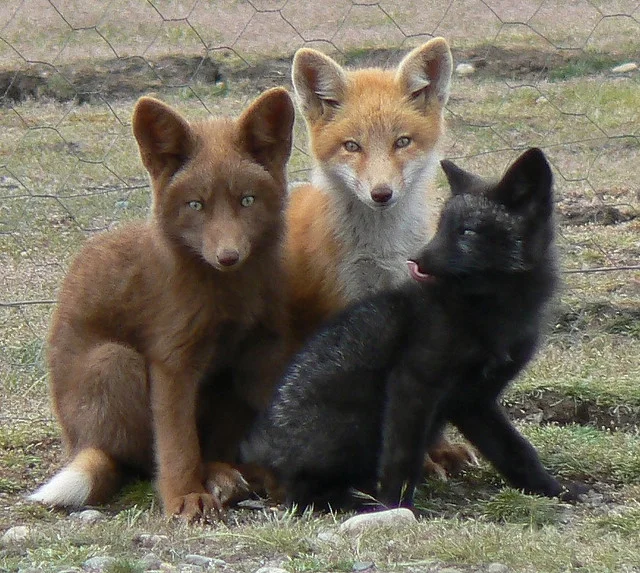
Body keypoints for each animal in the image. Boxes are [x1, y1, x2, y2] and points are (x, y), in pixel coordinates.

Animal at [29, 88, 295, 521]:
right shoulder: (172, 360)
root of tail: (79, 445)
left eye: (247, 201)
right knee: (138, 462)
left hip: (223, 386)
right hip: (115, 362)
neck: (227, 295)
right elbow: (176, 445)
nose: (228, 256)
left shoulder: (262, 350)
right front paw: (185, 498)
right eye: (195, 205)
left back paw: (231, 476)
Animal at [242, 148, 588, 510]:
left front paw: (554, 489)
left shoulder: (474, 401)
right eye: (441, 228)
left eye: (467, 232)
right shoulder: (414, 382)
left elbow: (517, 452)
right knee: (299, 495)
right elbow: (401, 456)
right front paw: (396, 506)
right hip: (357, 425)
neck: (494, 314)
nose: (416, 260)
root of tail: (262, 447)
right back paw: (355, 502)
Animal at [285, 38, 474, 476]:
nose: (382, 194)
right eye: (352, 146)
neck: (383, 253)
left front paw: (435, 451)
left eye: (402, 142)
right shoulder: (344, 306)